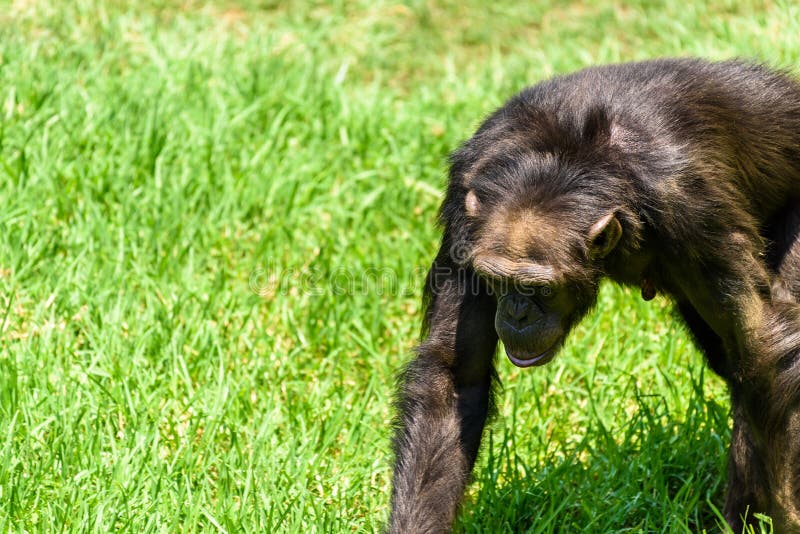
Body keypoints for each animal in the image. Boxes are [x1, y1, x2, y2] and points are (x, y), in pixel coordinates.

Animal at [388, 58, 800, 533]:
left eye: (539, 289)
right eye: (497, 282)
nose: (516, 314)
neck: (568, 157)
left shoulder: (693, 209)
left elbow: (764, 350)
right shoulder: (463, 210)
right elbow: (455, 376)